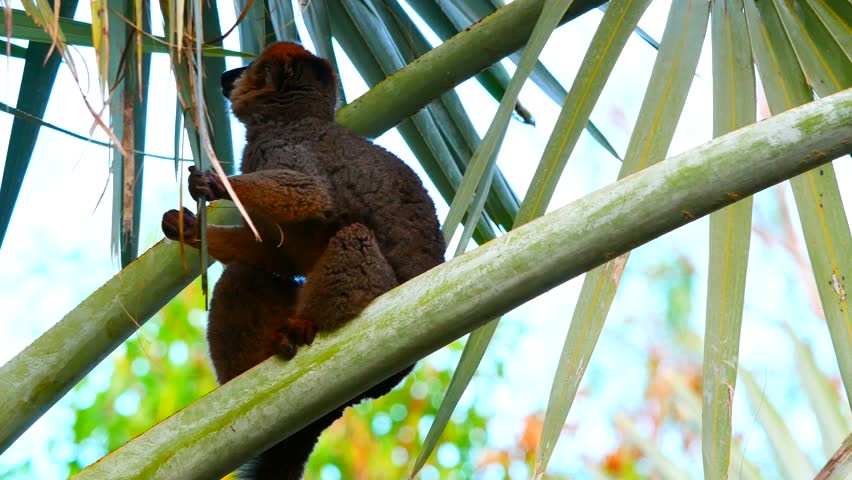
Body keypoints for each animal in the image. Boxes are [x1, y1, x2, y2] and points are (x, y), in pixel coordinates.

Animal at [161, 42, 445, 479]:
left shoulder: (283, 149)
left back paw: (308, 325)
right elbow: (281, 253)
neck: (290, 119)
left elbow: (311, 193)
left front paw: (217, 185)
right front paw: (187, 227)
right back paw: (250, 367)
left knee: (354, 236)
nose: (226, 75)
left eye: (249, 66)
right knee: (245, 273)